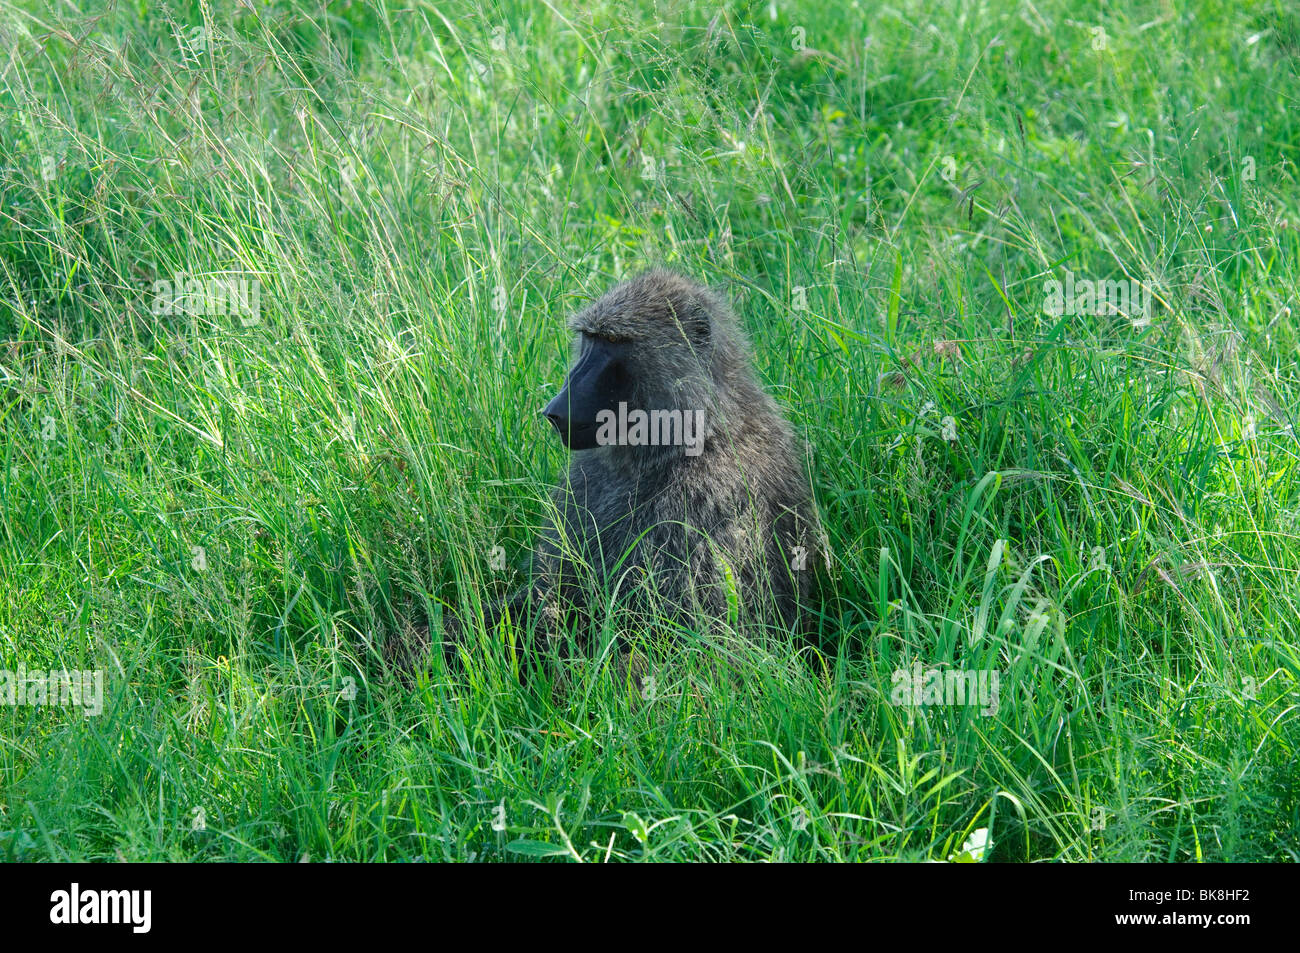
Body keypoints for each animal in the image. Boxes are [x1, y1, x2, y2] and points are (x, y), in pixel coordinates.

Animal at [442, 269, 824, 671]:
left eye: (613, 341)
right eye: (589, 338)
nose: (555, 410)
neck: (690, 435)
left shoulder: (706, 498)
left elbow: (690, 639)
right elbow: (545, 592)